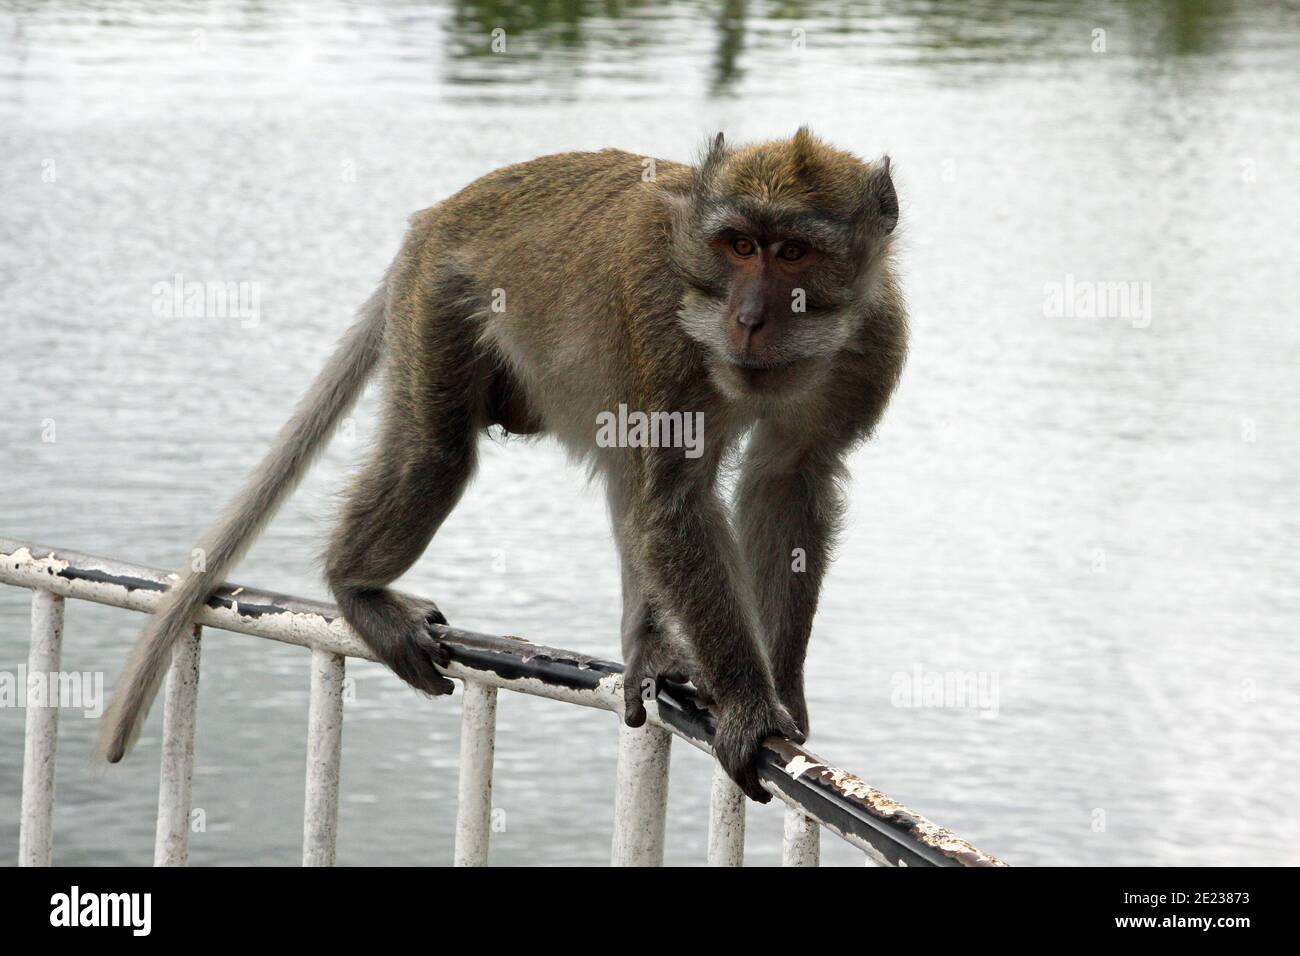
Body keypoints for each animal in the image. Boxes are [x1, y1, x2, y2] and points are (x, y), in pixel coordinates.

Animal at [97, 127, 906, 804]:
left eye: (793, 253)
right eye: (738, 245)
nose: (749, 318)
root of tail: (441, 211)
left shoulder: (872, 341)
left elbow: (788, 481)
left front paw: (781, 689)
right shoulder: (661, 327)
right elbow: (676, 499)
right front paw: (748, 705)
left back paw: (648, 649)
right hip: (439, 300)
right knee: (436, 455)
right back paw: (354, 586)